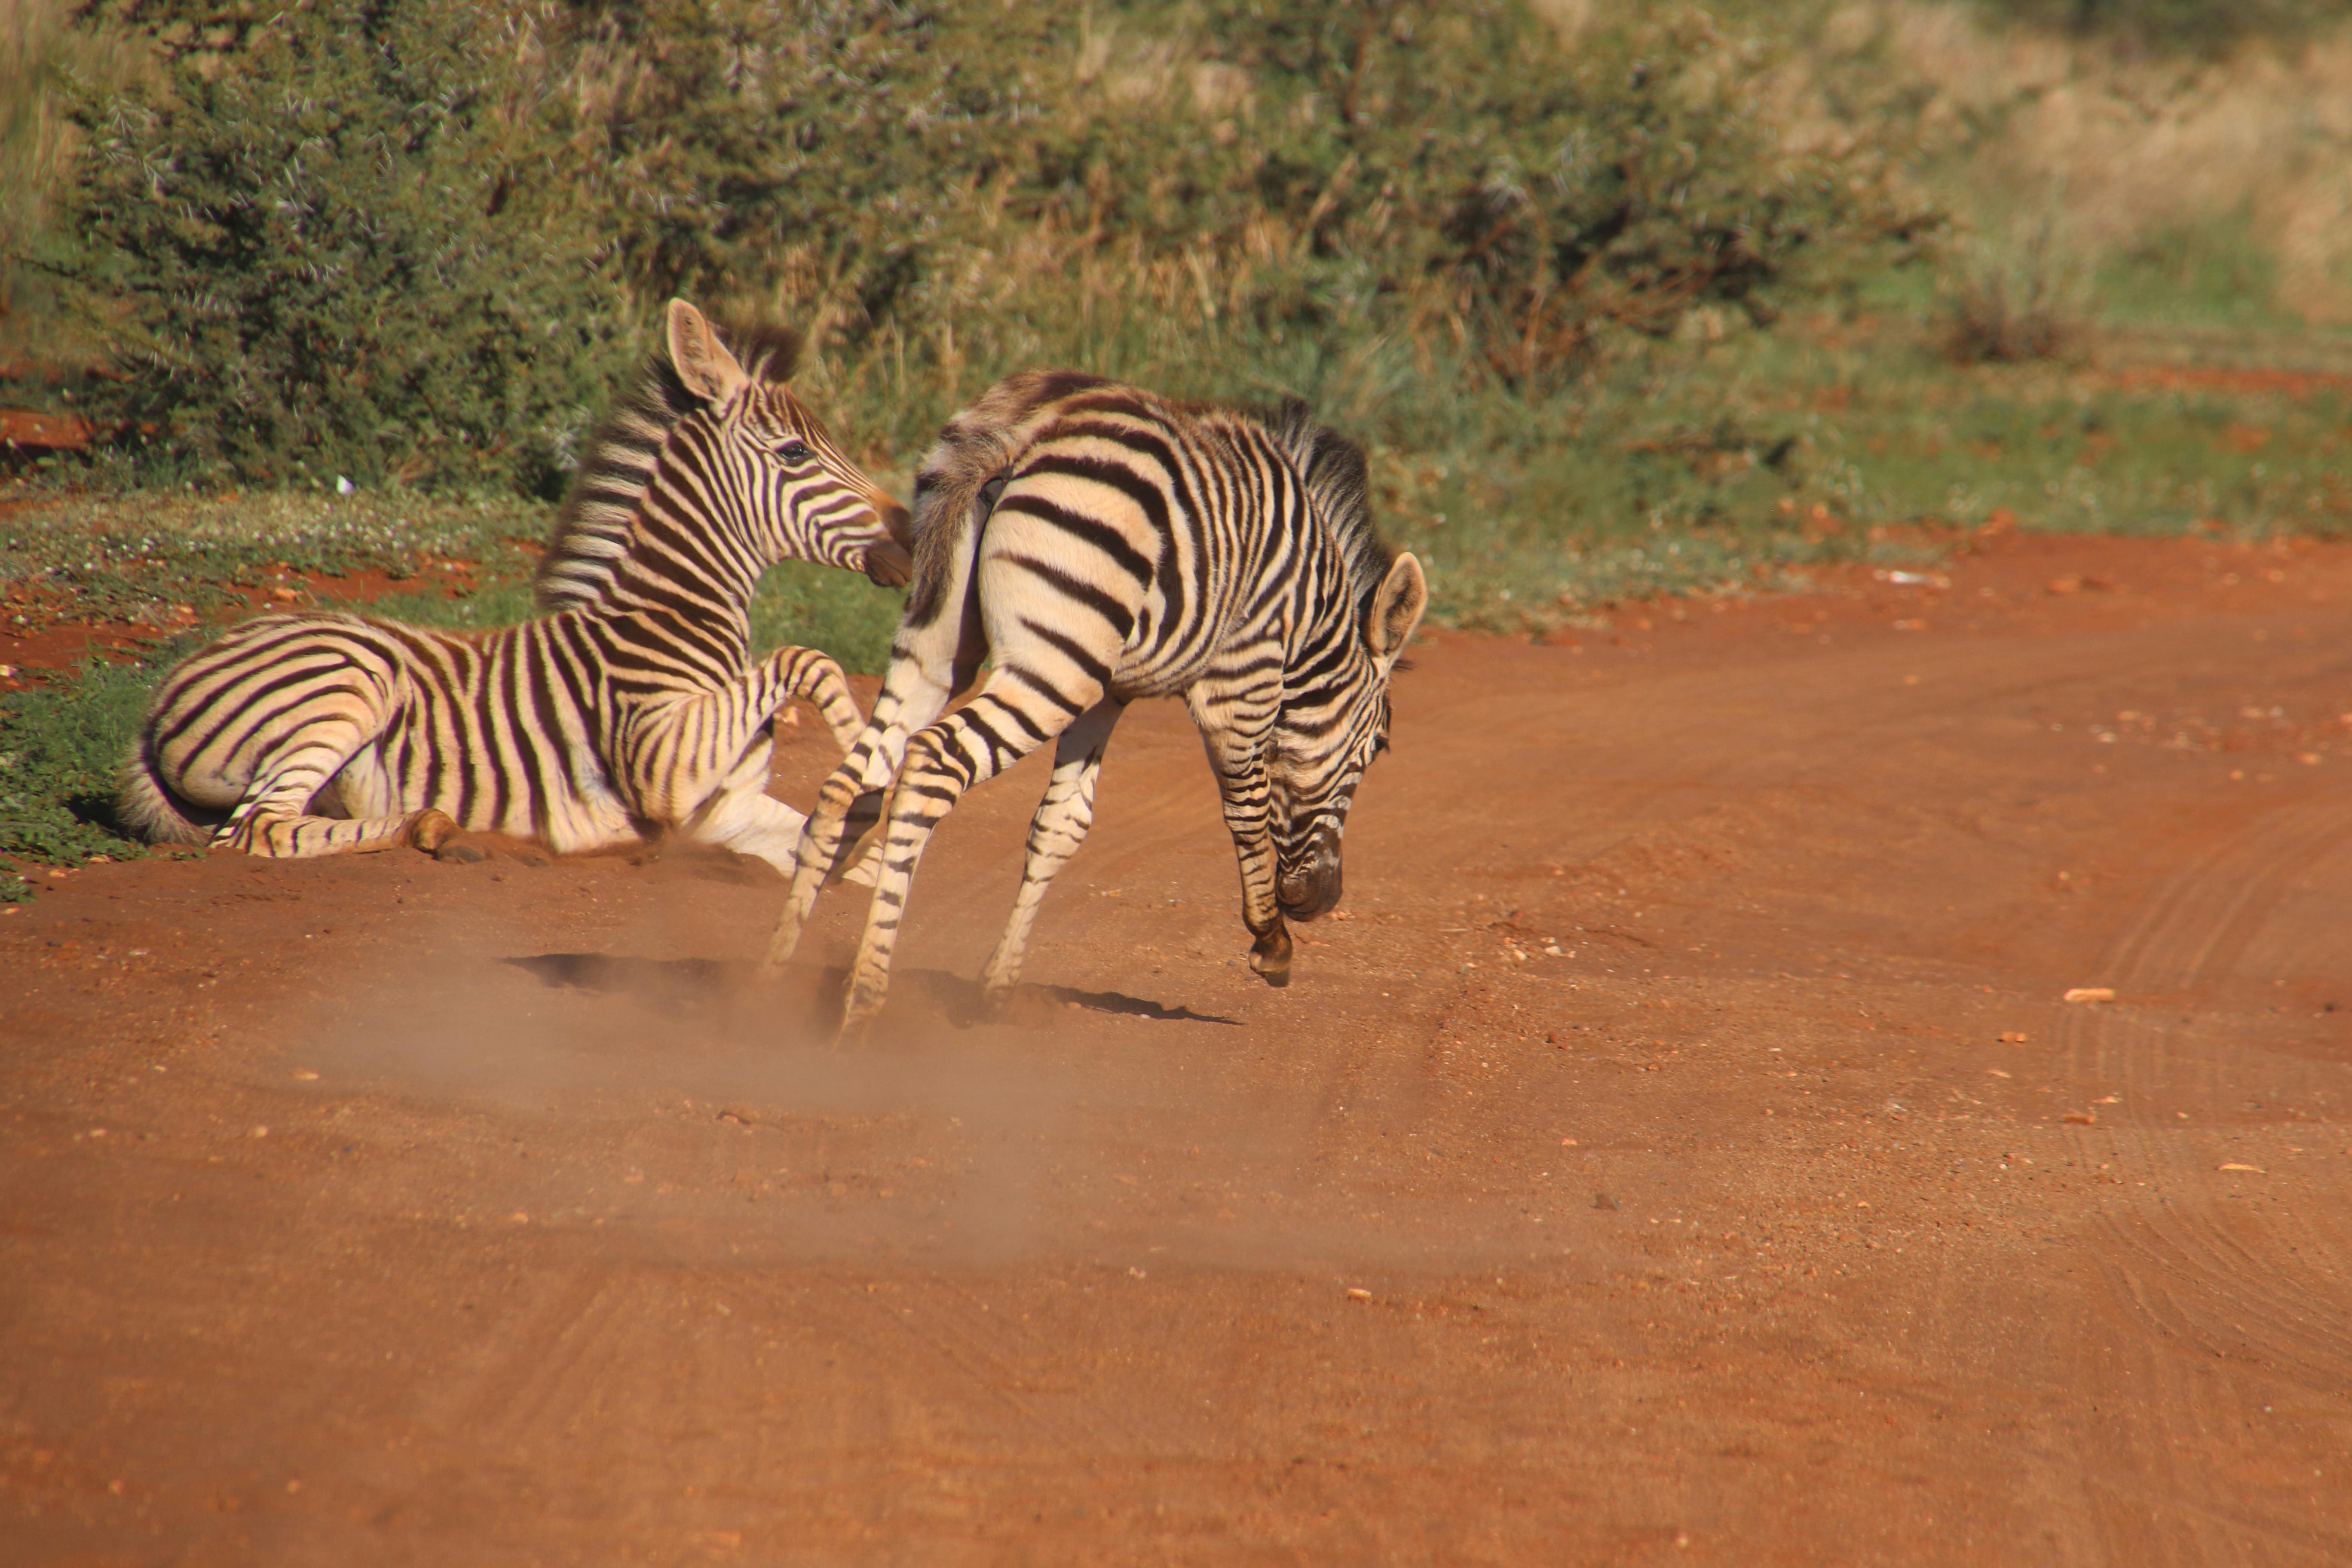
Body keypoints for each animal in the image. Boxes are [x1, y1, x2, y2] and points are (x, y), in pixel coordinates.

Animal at [117, 299, 914, 872]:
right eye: (795, 453)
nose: (913, 533)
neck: (671, 618)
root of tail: (160, 696)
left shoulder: (729, 810)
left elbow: (850, 861)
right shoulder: (661, 763)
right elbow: (810, 659)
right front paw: (870, 758)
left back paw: (435, 828)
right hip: (349, 680)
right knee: (257, 832)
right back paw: (435, 827)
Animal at [760, 371, 1427, 1040]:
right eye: (1378, 749)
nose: (1324, 901)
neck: (1310, 620)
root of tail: (1026, 427)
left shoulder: (1110, 694)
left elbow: (1062, 824)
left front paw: (997, 987)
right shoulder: (1243, 677)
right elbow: (1249, 808)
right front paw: (1271, 941)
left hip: (946, 642)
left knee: (852, 783)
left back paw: (773, 983)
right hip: (1058, 662)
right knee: (932, 766)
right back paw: (864, 999)